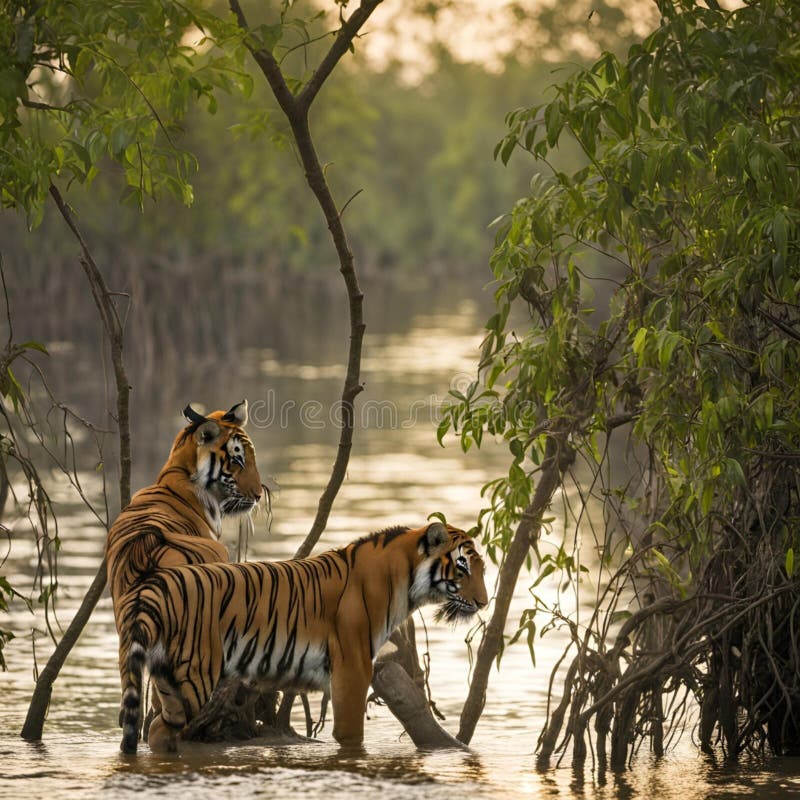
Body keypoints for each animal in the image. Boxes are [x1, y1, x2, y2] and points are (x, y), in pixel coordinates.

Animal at [115, 521, 487, 754]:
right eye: (462, 568)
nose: (484, 602)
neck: (404, 582)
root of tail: (149, 587)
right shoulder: (352, 670)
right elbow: (351, 735)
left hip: (164, 681)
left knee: (149, 731)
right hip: (193, 678)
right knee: (158, 730)